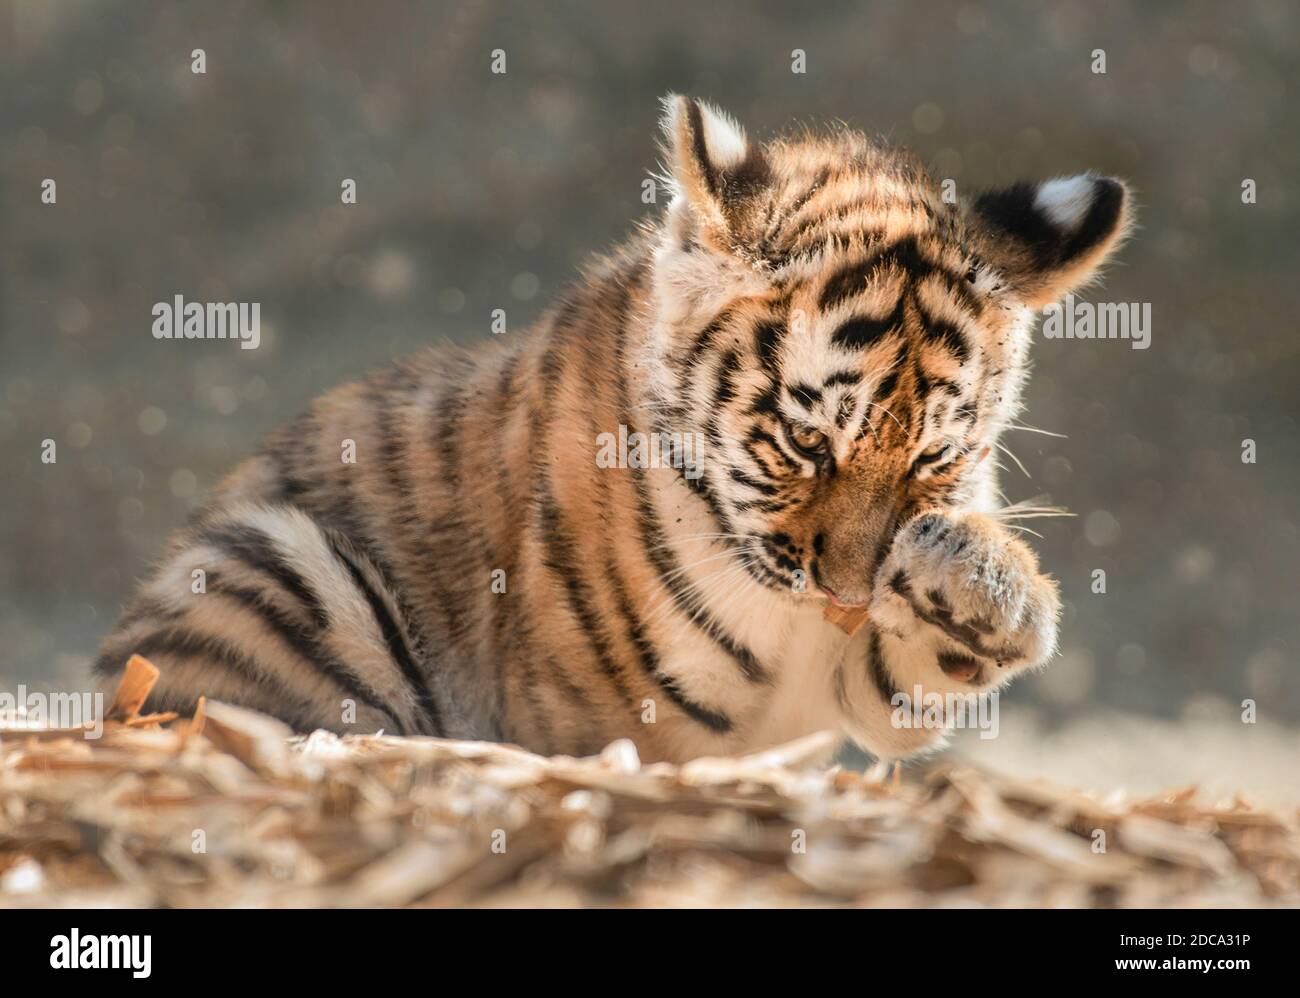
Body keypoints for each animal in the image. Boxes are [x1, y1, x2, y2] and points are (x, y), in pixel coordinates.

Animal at [94, 96, 1132, 764]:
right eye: (807, 445)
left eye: (934, 459)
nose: (845, 597)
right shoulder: (604, 713)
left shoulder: (868, 689)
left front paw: (984, 587)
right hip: (272, 564)